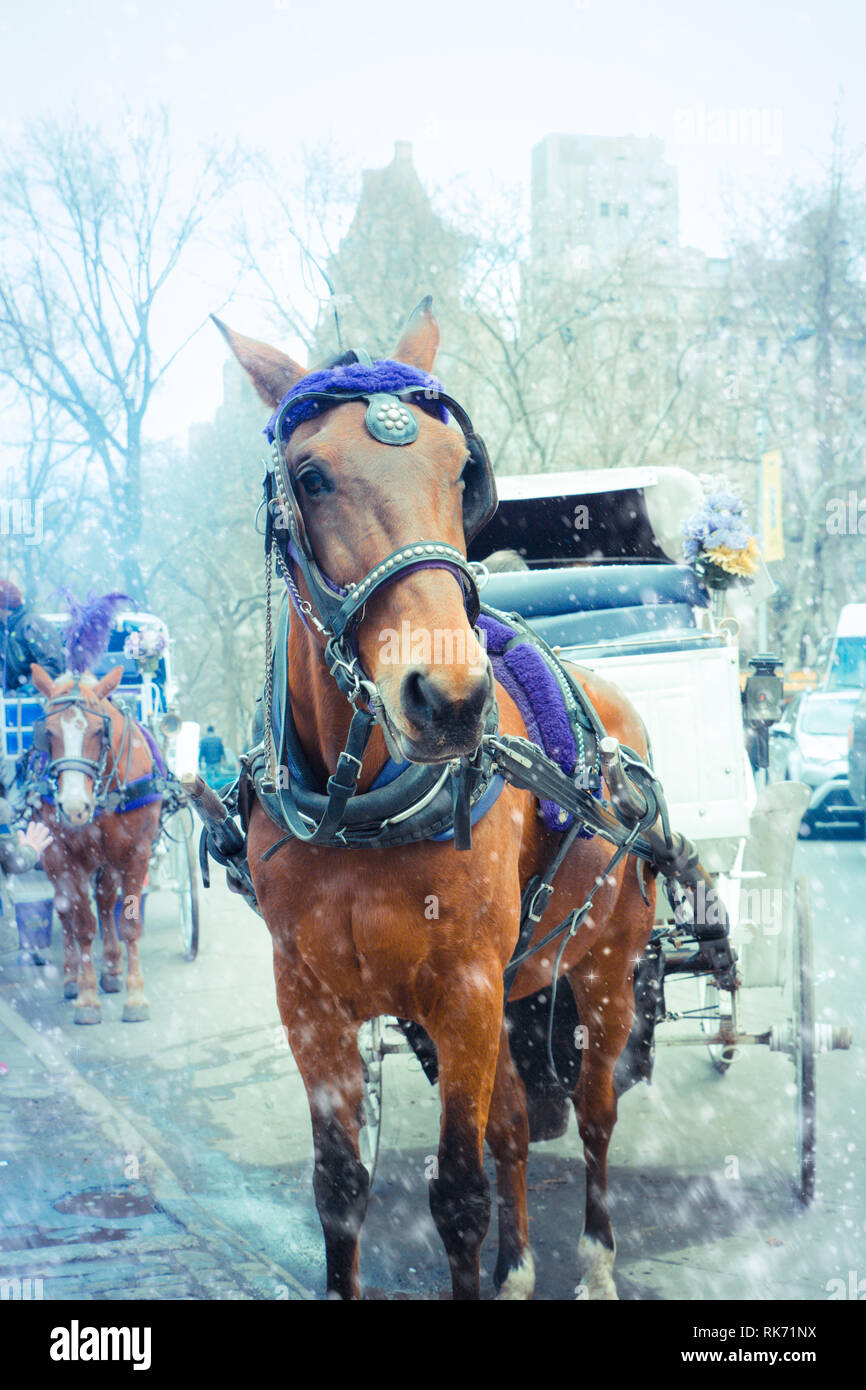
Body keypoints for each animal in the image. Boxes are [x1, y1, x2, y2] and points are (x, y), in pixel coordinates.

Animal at [27, 663, 163, 1025]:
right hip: (53, 858)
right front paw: (87, 999)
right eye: (48, 733)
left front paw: (135, 996)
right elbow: (84, 926)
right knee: (66, 913)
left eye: (99, 731)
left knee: (105, 902)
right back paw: (72, 978)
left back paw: (113, 969)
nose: (75, 808)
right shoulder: (67, 856)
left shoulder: (136, 852)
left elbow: (129, 924)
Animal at [217, 300, 657, 1300]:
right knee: (514, 1127)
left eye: (463, 472)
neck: (360, 812)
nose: (452, 701)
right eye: (311, 476)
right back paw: (521, 1267)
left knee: (595, 1112)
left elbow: (456, 1193)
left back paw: (597, 1261)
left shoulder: (462, 991)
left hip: (606, 967)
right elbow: (341, 1185)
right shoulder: (311, 1003)